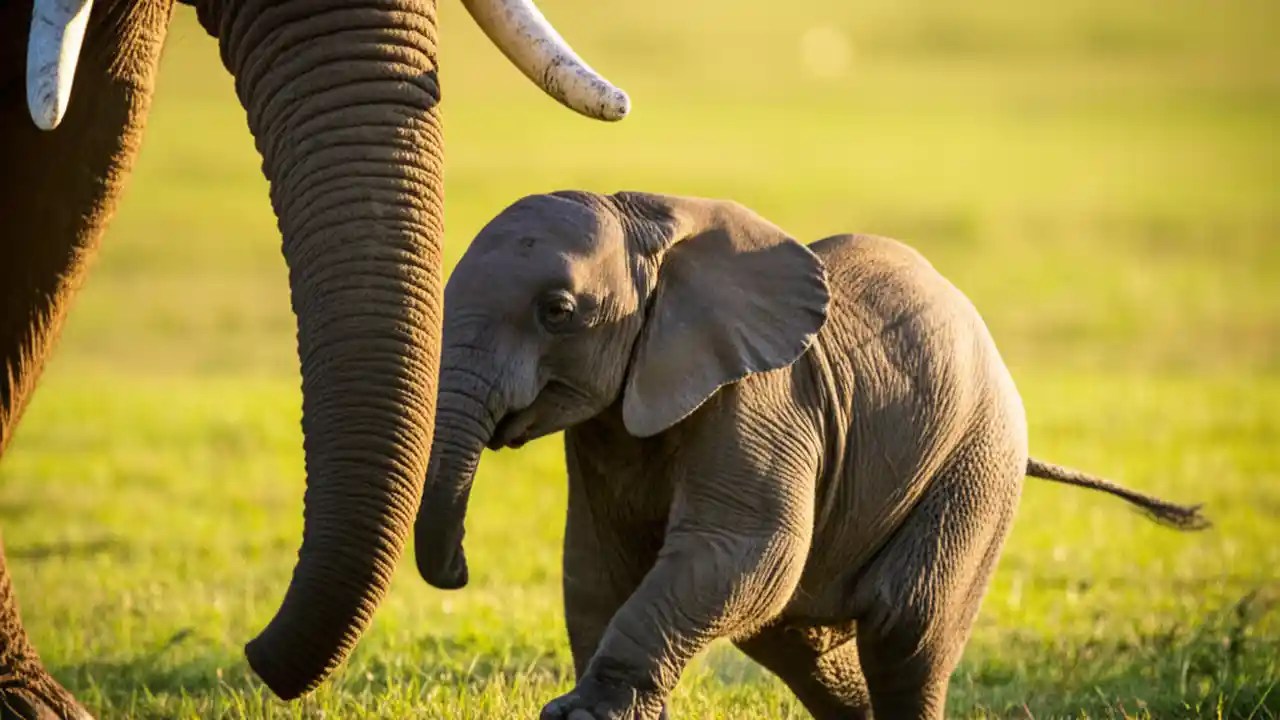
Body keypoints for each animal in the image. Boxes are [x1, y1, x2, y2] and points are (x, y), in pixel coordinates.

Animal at [412, 191, 1209, 720]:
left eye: (558, 313)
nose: (459, 571)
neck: (654, 226)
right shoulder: (608, 425)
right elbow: (596, 564)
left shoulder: (763, 401)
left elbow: (742, 549)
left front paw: (584, 714)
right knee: (802, 644)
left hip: (976, 464)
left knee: (906, 630)